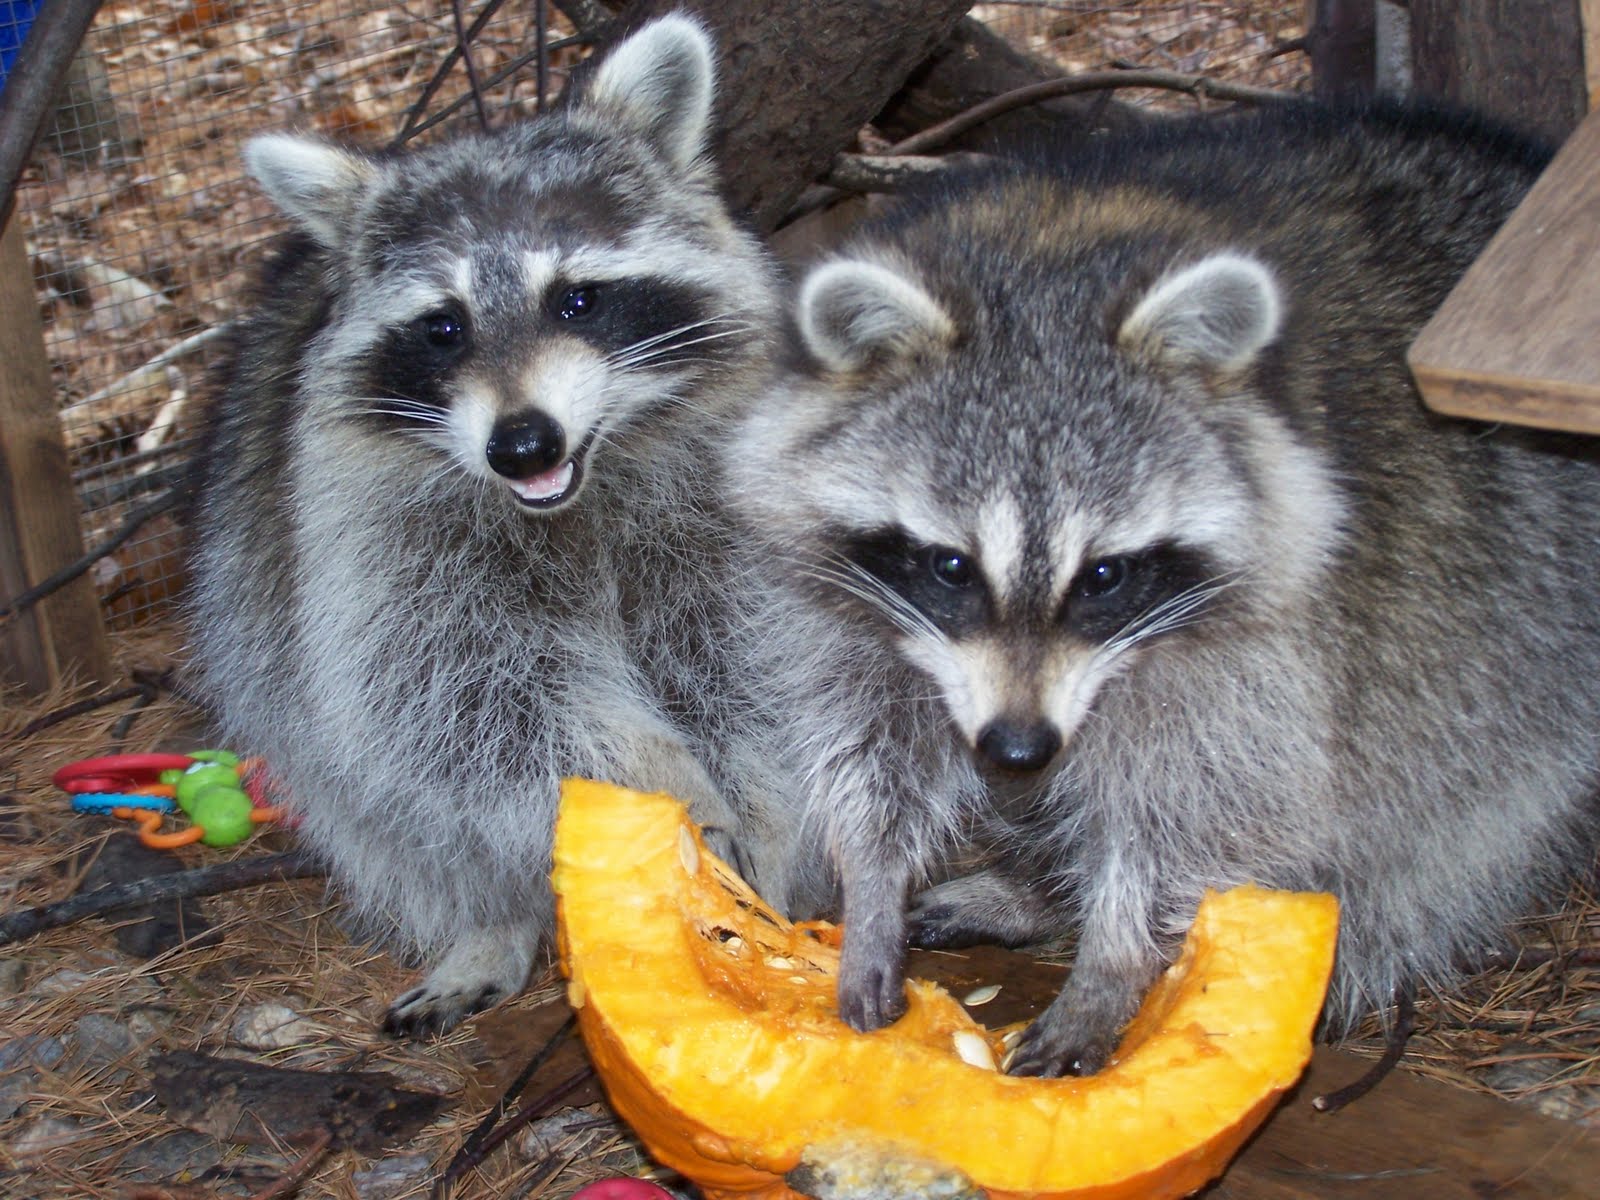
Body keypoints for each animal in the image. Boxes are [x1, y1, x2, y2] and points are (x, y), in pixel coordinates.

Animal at [187, 16, 799, 1035]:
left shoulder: (730, 500)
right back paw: (487, 921)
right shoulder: (373, 534)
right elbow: (472, 703)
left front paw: (762, 804)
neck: (575, 487)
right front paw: (668, 796)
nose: (520, 444)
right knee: (372, 791)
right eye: (444, 327)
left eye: (577, 299)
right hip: (259, 582)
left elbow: (750, 660)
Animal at [727, 103, 1600, 1077]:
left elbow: (1203, 805)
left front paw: (1112, 959)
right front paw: (875, 882)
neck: (1052, 250)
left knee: (1455, 823)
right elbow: (872, 738)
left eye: (1105, 576)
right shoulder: (851, 608)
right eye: (952, 566)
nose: (1018, 749)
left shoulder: (1275, 643)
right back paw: (1036, 883)